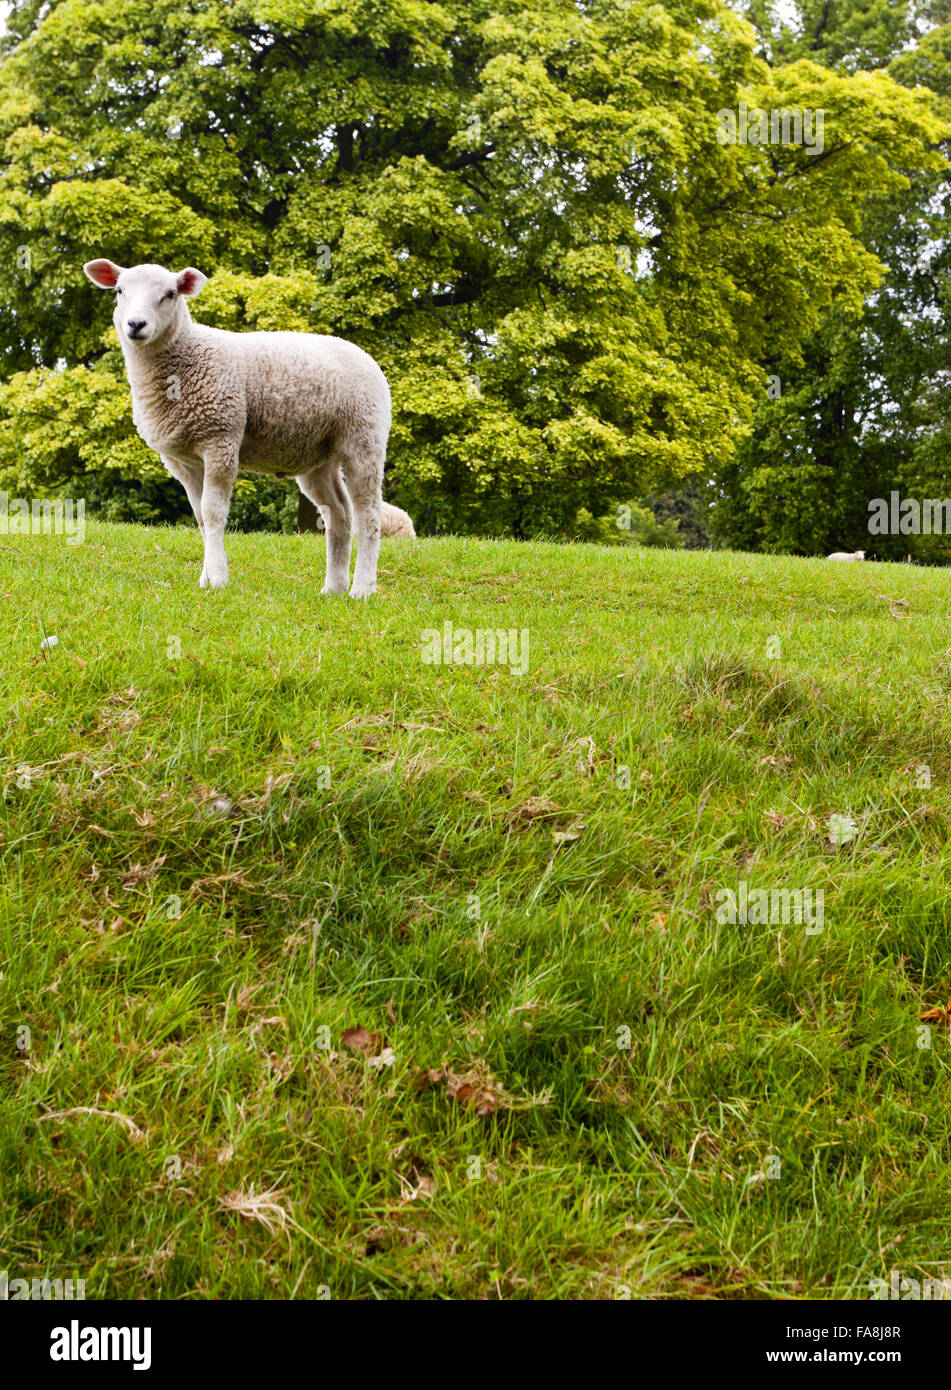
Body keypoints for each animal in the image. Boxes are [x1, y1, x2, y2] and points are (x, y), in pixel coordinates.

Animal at [83, 258, 406, 597]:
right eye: (119, 290)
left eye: (170, 294)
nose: (136, 324)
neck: (186, 357)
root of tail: (368, 358)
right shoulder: (184, 460)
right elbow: (200, 517)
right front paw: (205, 577)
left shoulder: (220, 438)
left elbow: (212, 511)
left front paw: (217, 578)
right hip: (319, 455)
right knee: (339, 514)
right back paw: (334, 588)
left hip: (364, 436)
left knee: (368, 514)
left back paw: (362, 589)